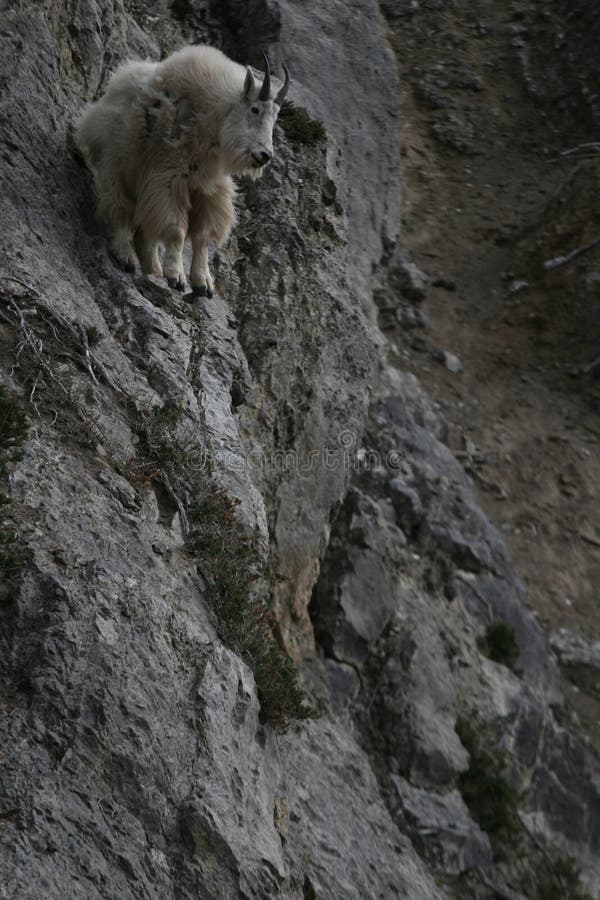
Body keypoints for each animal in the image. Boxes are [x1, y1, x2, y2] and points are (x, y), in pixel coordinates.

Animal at [75, 46, 289, 297]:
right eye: (255, 109)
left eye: (275, 117)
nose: (265, 155)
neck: (210, 120)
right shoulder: (168, 177)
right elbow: (176, 230)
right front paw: (176, 277)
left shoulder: (208, 189)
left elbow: (202, 237)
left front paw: (203, 283)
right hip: (115, 166)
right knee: (119, 209)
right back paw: (125, 256)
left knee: (145, 232)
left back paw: (154, 269)